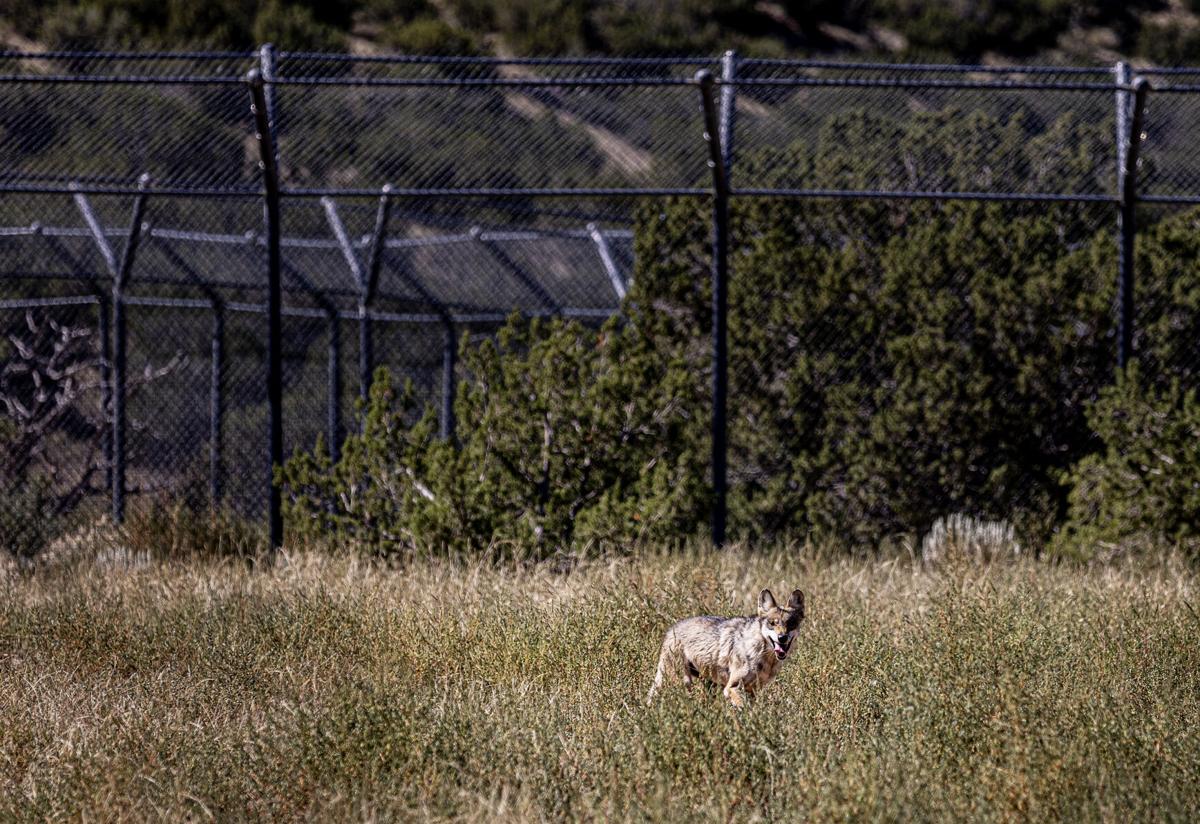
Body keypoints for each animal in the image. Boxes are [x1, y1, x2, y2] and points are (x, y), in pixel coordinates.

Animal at [646, 588, 805, 706]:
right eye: (772, 623)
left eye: (791, 624)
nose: (782, 638)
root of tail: (671, 629)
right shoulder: (731, 688)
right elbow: (745, 708)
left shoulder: (753, 691)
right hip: (679, 682)